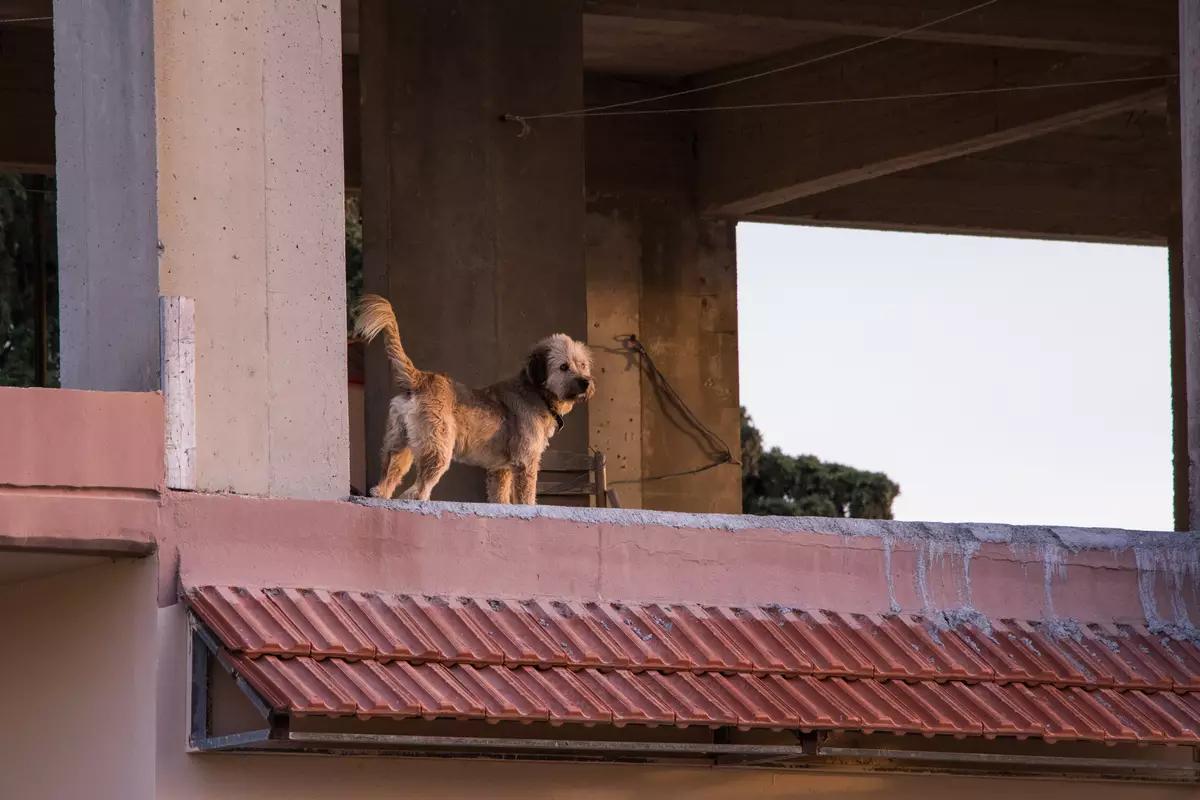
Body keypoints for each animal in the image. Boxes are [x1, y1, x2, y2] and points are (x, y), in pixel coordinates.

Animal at [350, 293, 595, 506]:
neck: (537, 393)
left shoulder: (500, 469)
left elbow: (500, 497)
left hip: (398, 444)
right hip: (438, 448)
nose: (585, 382)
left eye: (582, 365)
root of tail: (420, 377)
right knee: (416, 491)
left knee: (386, 481)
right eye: (563, 367)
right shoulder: (525, 462)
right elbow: (526, 497)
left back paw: (382, 492)